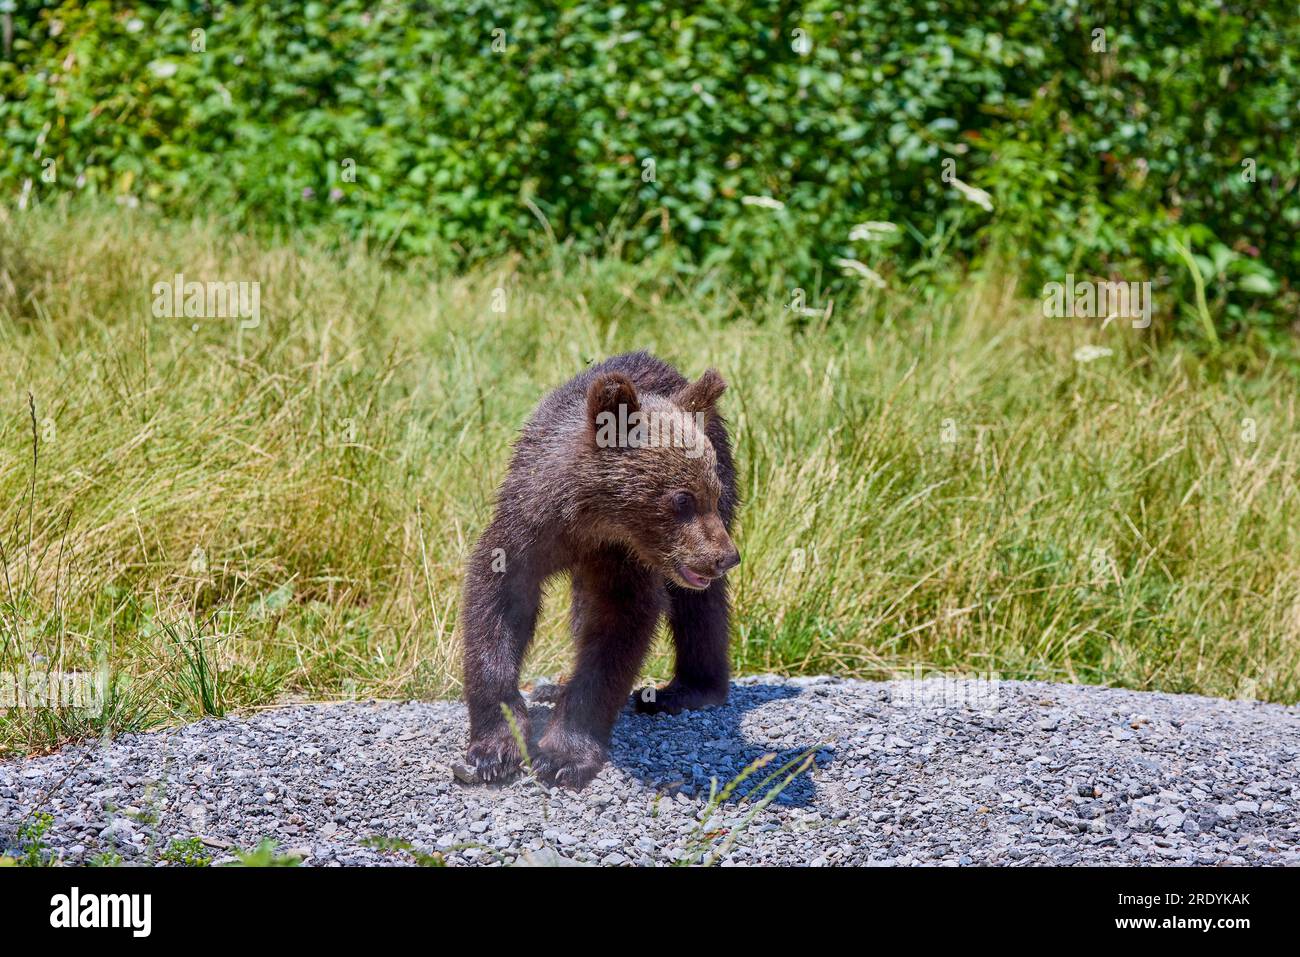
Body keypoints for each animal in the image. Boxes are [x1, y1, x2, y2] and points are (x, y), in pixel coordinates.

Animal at [460, 350, 740, 789]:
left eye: (709, 493)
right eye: (683, 499)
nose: (726, 556)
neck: (592, 523)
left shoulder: (622, 560)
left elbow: (617, 629)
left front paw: (562, 756)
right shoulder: (528, 527)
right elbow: (496, 604)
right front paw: (492, 750)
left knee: (700, 607)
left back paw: (686, 690)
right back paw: (550, 689)